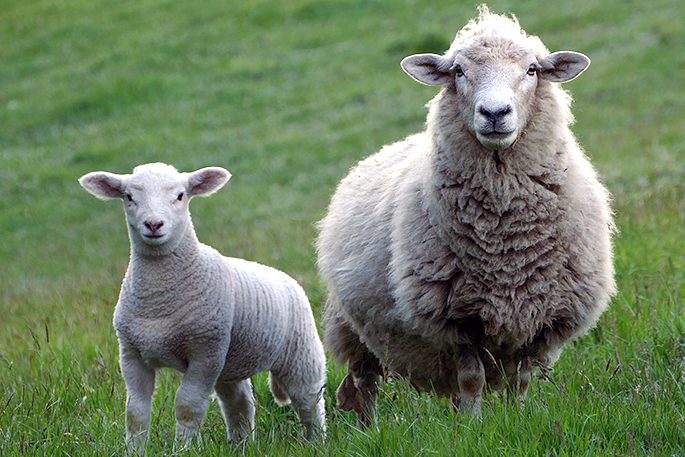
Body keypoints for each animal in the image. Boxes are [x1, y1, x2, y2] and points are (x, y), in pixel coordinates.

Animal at [78, 162, 326, 454]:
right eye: (129, 197)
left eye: (180, 196)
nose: (153, 224)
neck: (157, 300)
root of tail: (286, 278)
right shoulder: (131, 354)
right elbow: (135, 412)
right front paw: (134, 451)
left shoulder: (205, 351)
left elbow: (188, 407)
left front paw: (181, 450)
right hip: (230, 362)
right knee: (240, 404)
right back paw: (241, 445)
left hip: (299, 351)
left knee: (309, 399)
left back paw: (316, 442)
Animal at [317, 5, 615, 424]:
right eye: (458, 71)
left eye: (532, 69)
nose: (494, 112)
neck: (506, 238)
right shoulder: (457, 319)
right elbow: (472, 379)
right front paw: (473, 426)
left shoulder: (542, 318)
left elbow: (520, 380)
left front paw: (516, 419)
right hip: (353, 327)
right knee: (364, 383)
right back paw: (370, 429)